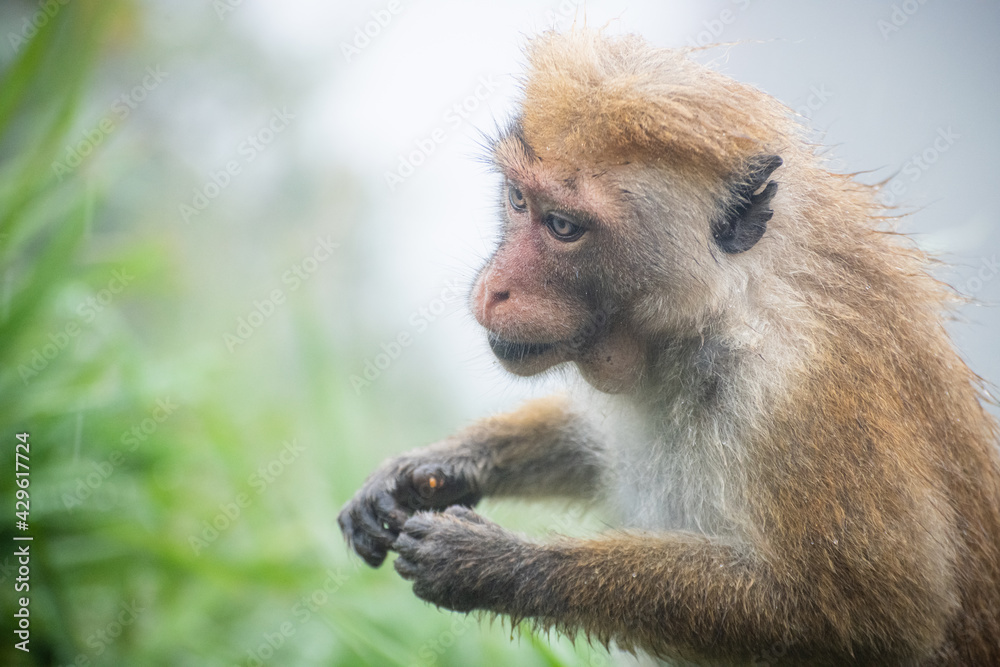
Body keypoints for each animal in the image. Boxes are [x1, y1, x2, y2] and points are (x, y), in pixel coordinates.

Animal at [338, 29, 1000, 666]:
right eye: (518, 200)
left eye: (564, 228)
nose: (494, 288)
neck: (713, 319)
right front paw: (435, 467)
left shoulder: (802, 393)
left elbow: (879, 614)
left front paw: (496, 567)